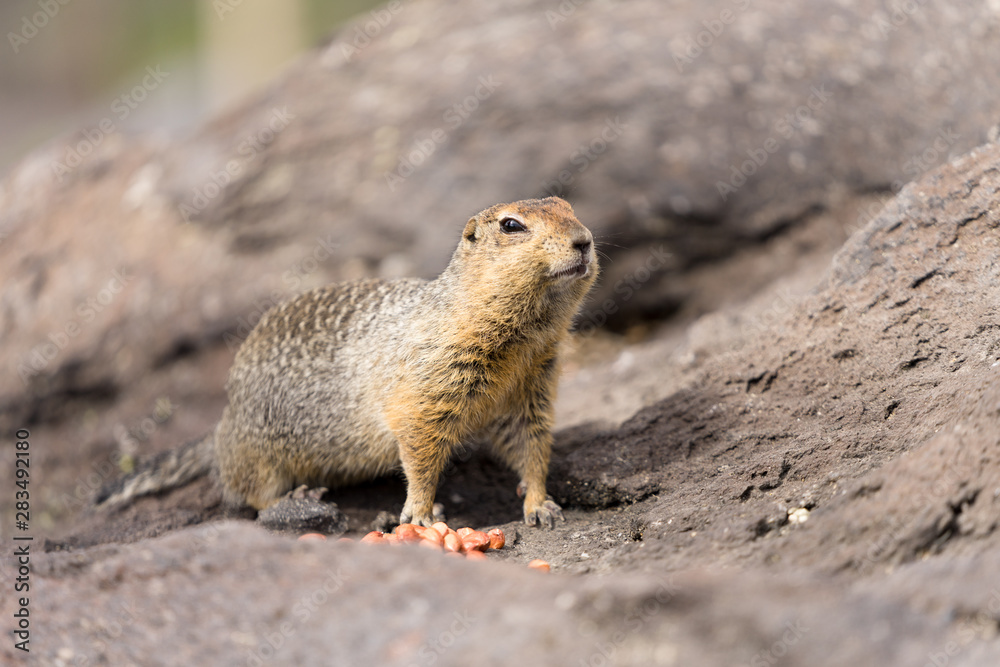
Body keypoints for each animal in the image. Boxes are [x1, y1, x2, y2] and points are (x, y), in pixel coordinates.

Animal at [97, 196, 598, 528]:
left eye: (570, 206)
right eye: (512, 225)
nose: (585, 240)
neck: (522, 339)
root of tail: (220, 429)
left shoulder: (532, 387)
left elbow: (532, 444)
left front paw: (539, 503)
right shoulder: (426, 392)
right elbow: (419, 452)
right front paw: (421, 511)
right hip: (259, 453)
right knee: (248, 496)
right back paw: (296, 500)